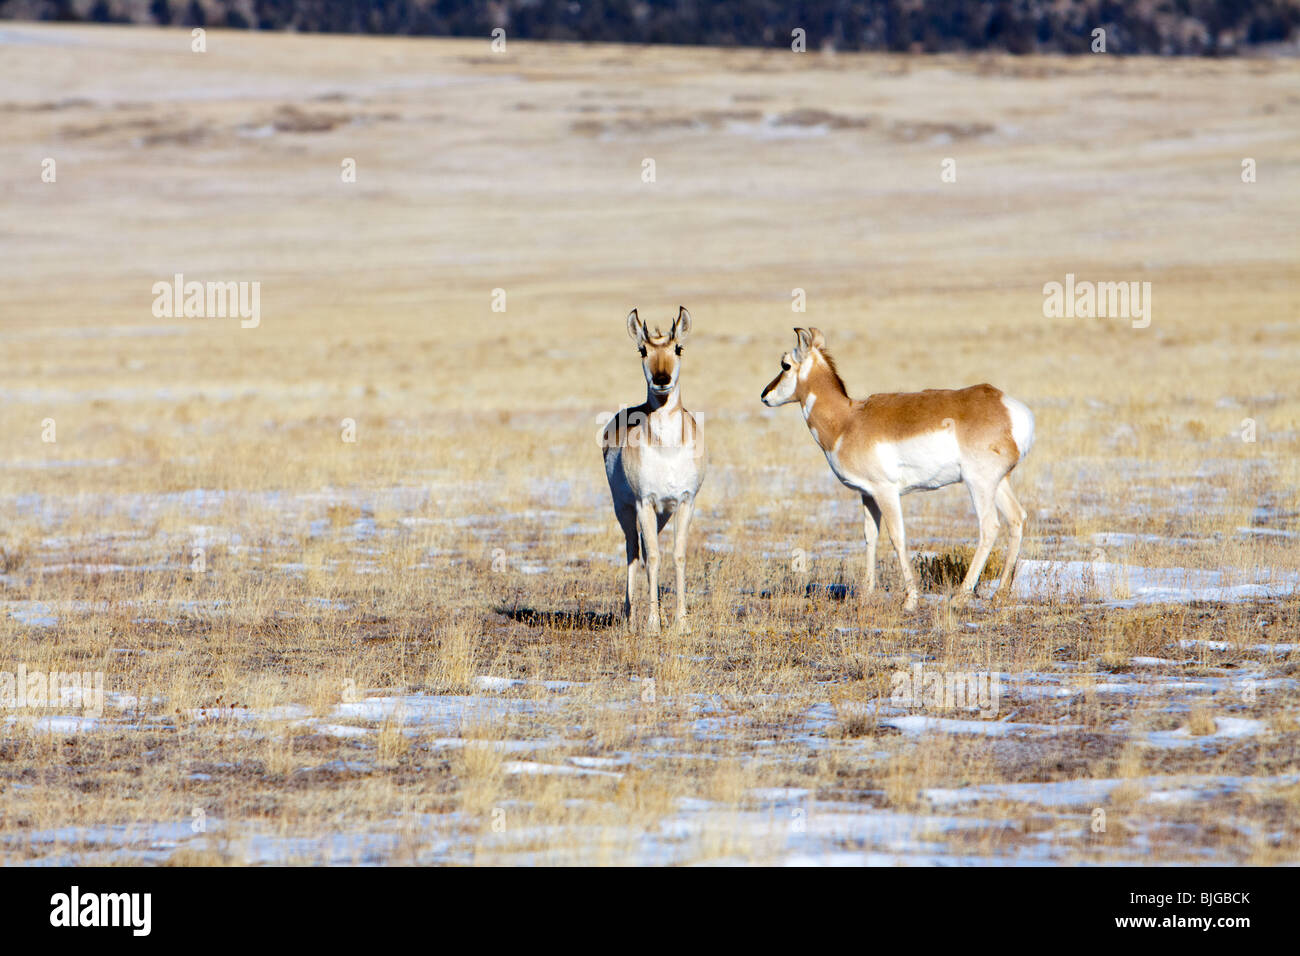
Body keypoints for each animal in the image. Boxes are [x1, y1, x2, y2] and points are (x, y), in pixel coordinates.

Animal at [602, 307, 705, 633]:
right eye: (643, 350)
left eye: (678, 348)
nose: (662, 379)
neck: (667, 448)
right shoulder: (644, 502)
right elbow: (656, 556)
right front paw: (653, 623)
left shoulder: (684, 502)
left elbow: (678, 555)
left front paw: (681, 622)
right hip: (624, 509)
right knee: (633, 550)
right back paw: (631, 616)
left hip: (662, 514)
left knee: (645, 552)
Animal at [760, 327, 1034, 611]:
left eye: (785, 364)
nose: (764, 395)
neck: (847, 421)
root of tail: (1009, 407)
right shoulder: (867, 494)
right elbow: (871, 536)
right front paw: (866, 593)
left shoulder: (886, 492)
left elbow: (897, 537)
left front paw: (910, 599)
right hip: (999, 484)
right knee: (1017, 518)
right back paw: (1000, 594)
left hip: (979, 484)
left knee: (989, 526)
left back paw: (960, 596)